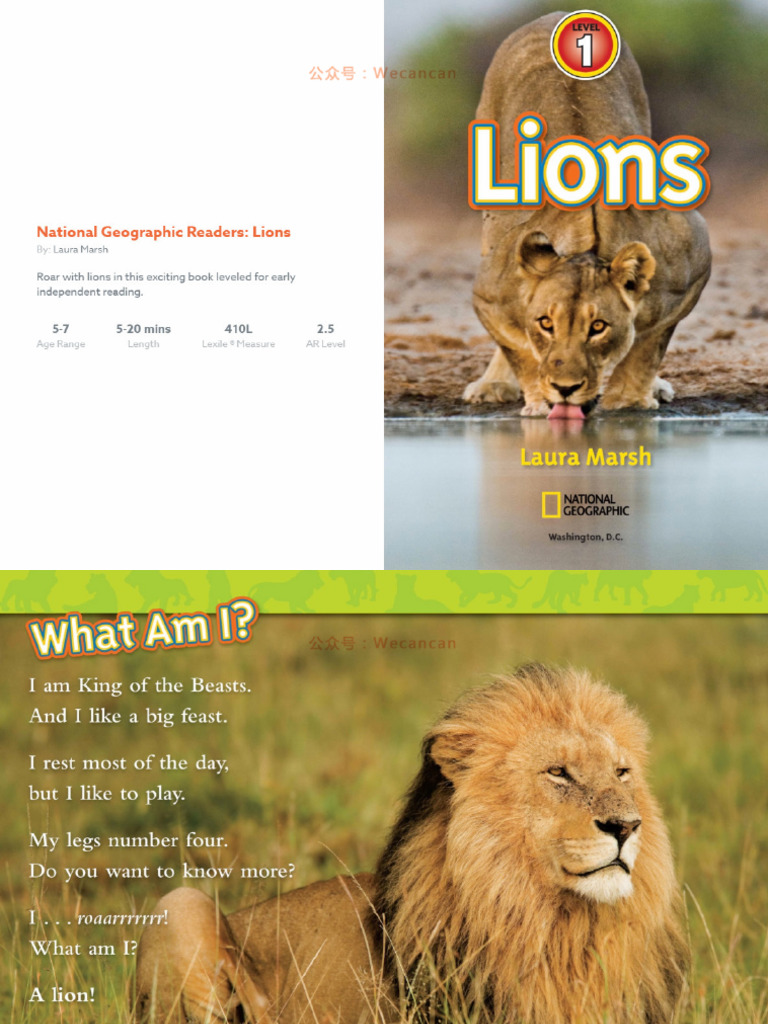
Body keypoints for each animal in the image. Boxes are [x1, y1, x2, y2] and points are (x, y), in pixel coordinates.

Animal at [464, 14, 711, 416]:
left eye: (598, 327)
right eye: (545, 324)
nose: (564, 388)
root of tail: (551, 15)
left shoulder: (692, 266)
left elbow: (647, 345)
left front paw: (628, 399)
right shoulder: (488, 295)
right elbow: (520, 350)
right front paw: (539, 401)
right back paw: (492, 385)